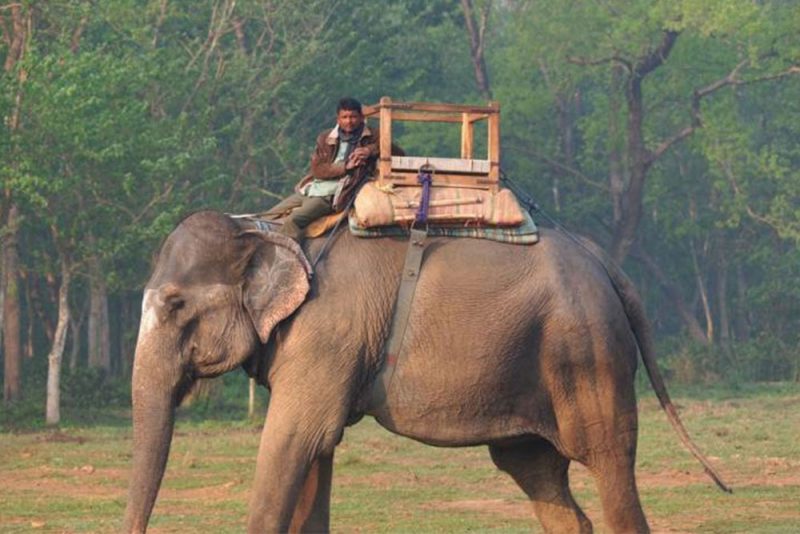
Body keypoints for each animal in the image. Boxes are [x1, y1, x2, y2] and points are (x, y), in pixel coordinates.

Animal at [123, 210, 727, 533]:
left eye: (174, 304)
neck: (268, 228)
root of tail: (605, 263)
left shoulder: (326, 335)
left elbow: (292, 441)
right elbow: (316, 450)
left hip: (588, 352)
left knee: (606, 460)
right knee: (536, 471)